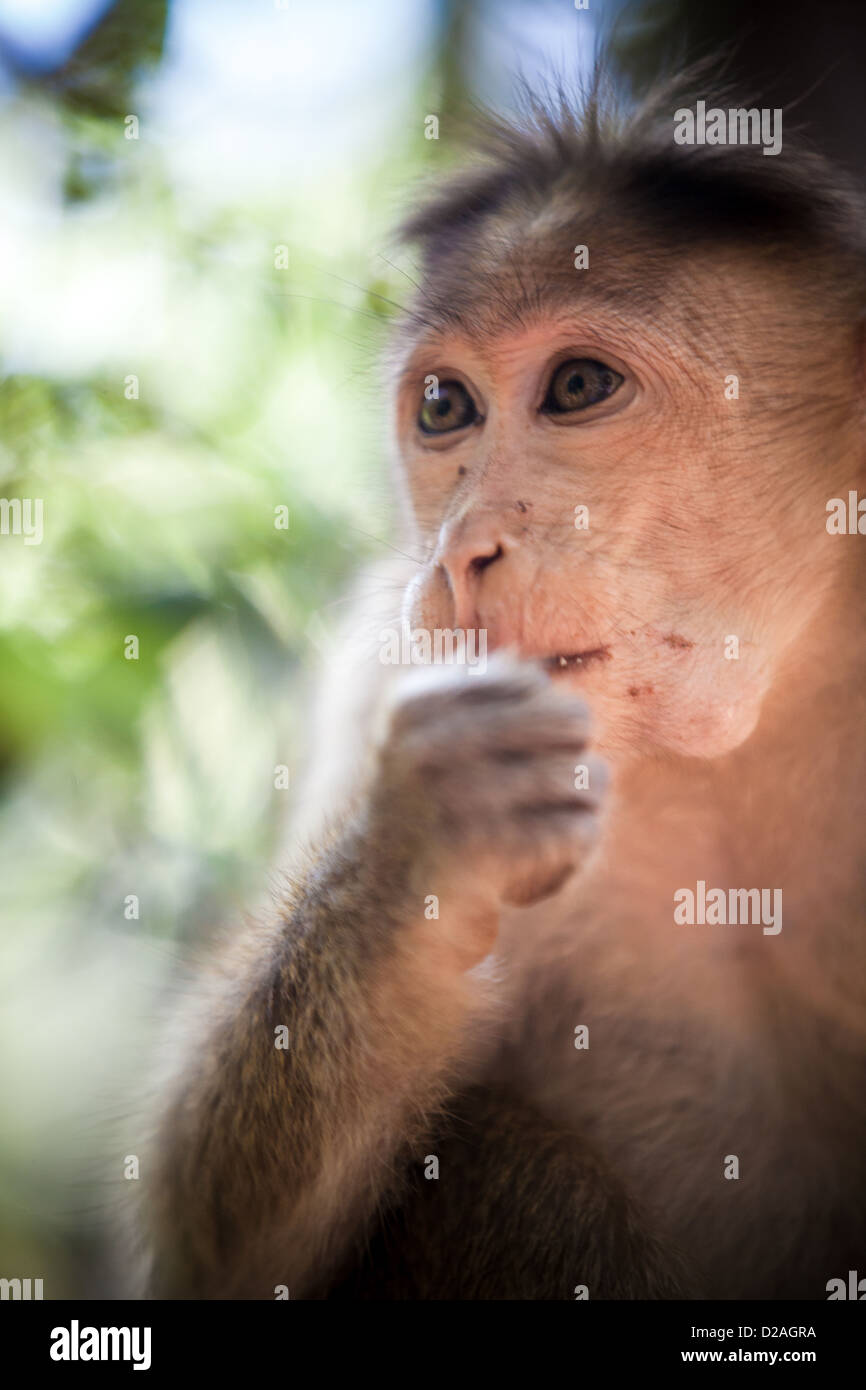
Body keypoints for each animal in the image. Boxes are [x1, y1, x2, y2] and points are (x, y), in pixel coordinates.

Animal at [139, 71, 866, 1301]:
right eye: (445, 409)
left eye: (577, 387)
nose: (459, 552)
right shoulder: (380, 670)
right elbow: (211, 1255)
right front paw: (415, 852)